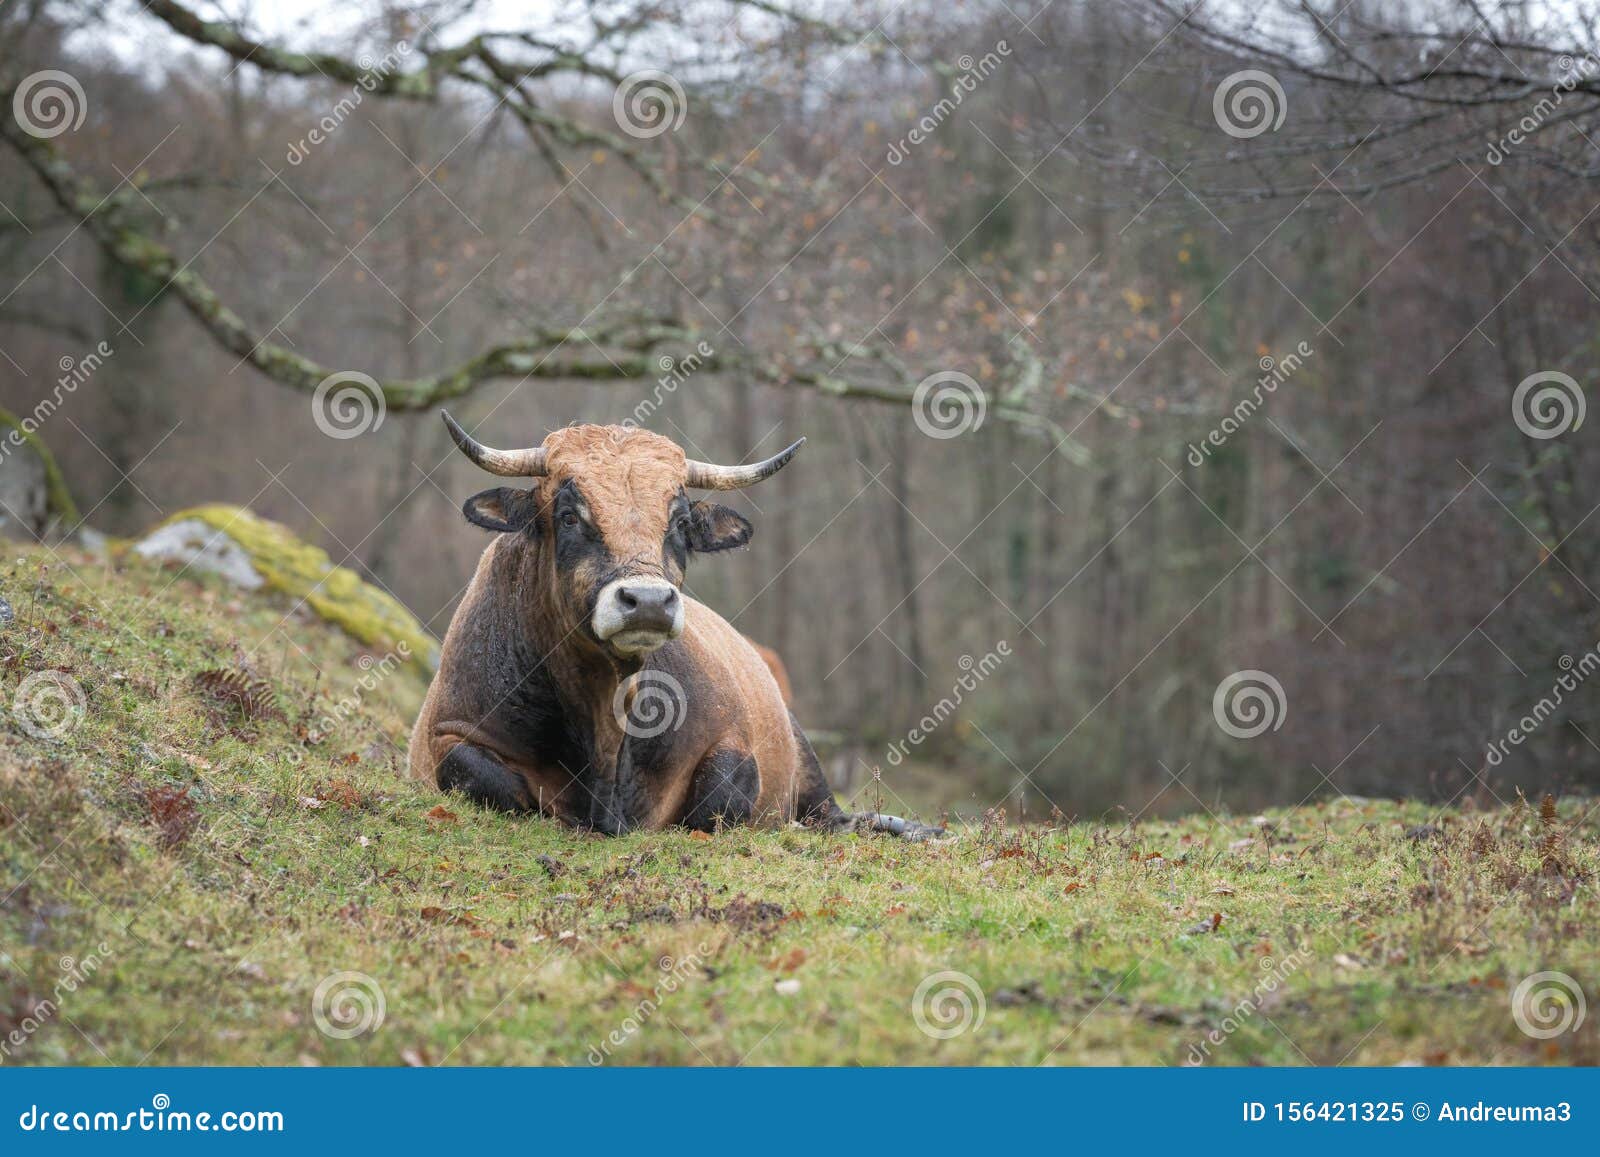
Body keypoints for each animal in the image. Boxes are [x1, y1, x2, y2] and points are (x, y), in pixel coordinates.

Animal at [407, 414, 943, 840]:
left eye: (681, 522)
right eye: (568, 515)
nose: (647, 601)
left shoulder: (733, 742)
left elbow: (720, 799)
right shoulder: (446, 737)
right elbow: (483, 777)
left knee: (835, 819)